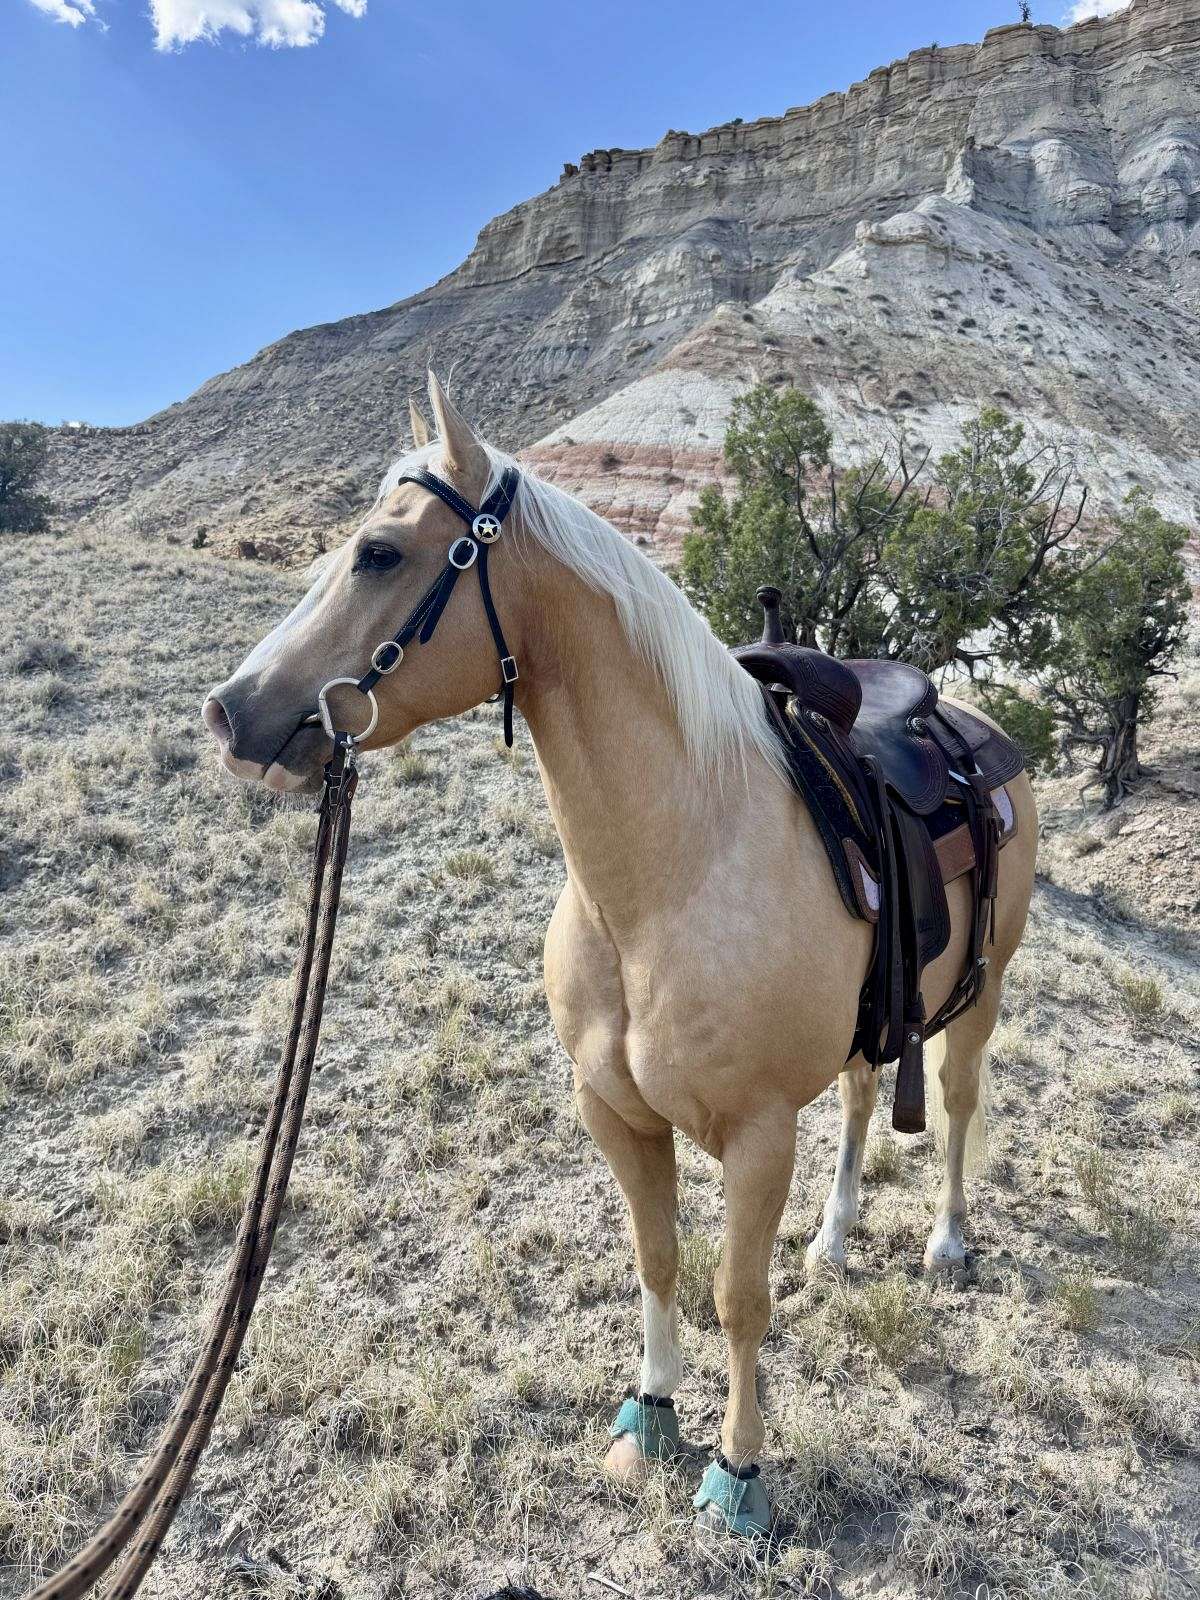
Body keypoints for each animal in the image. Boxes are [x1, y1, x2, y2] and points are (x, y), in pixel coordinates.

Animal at [202, 372, 1037, 1534]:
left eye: (378, 552)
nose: (231, 713)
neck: (672, 869)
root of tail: (976, 727)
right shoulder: (614, 1111)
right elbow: (657, 1257)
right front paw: (649, 1419)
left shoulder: (758, 1137)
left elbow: (738, 1298)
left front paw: (737, 1474)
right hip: (884, 1018)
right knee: (867, 1095)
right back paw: (835, 1233)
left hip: (984, 992)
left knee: (956, 1103)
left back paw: (947, 1240)